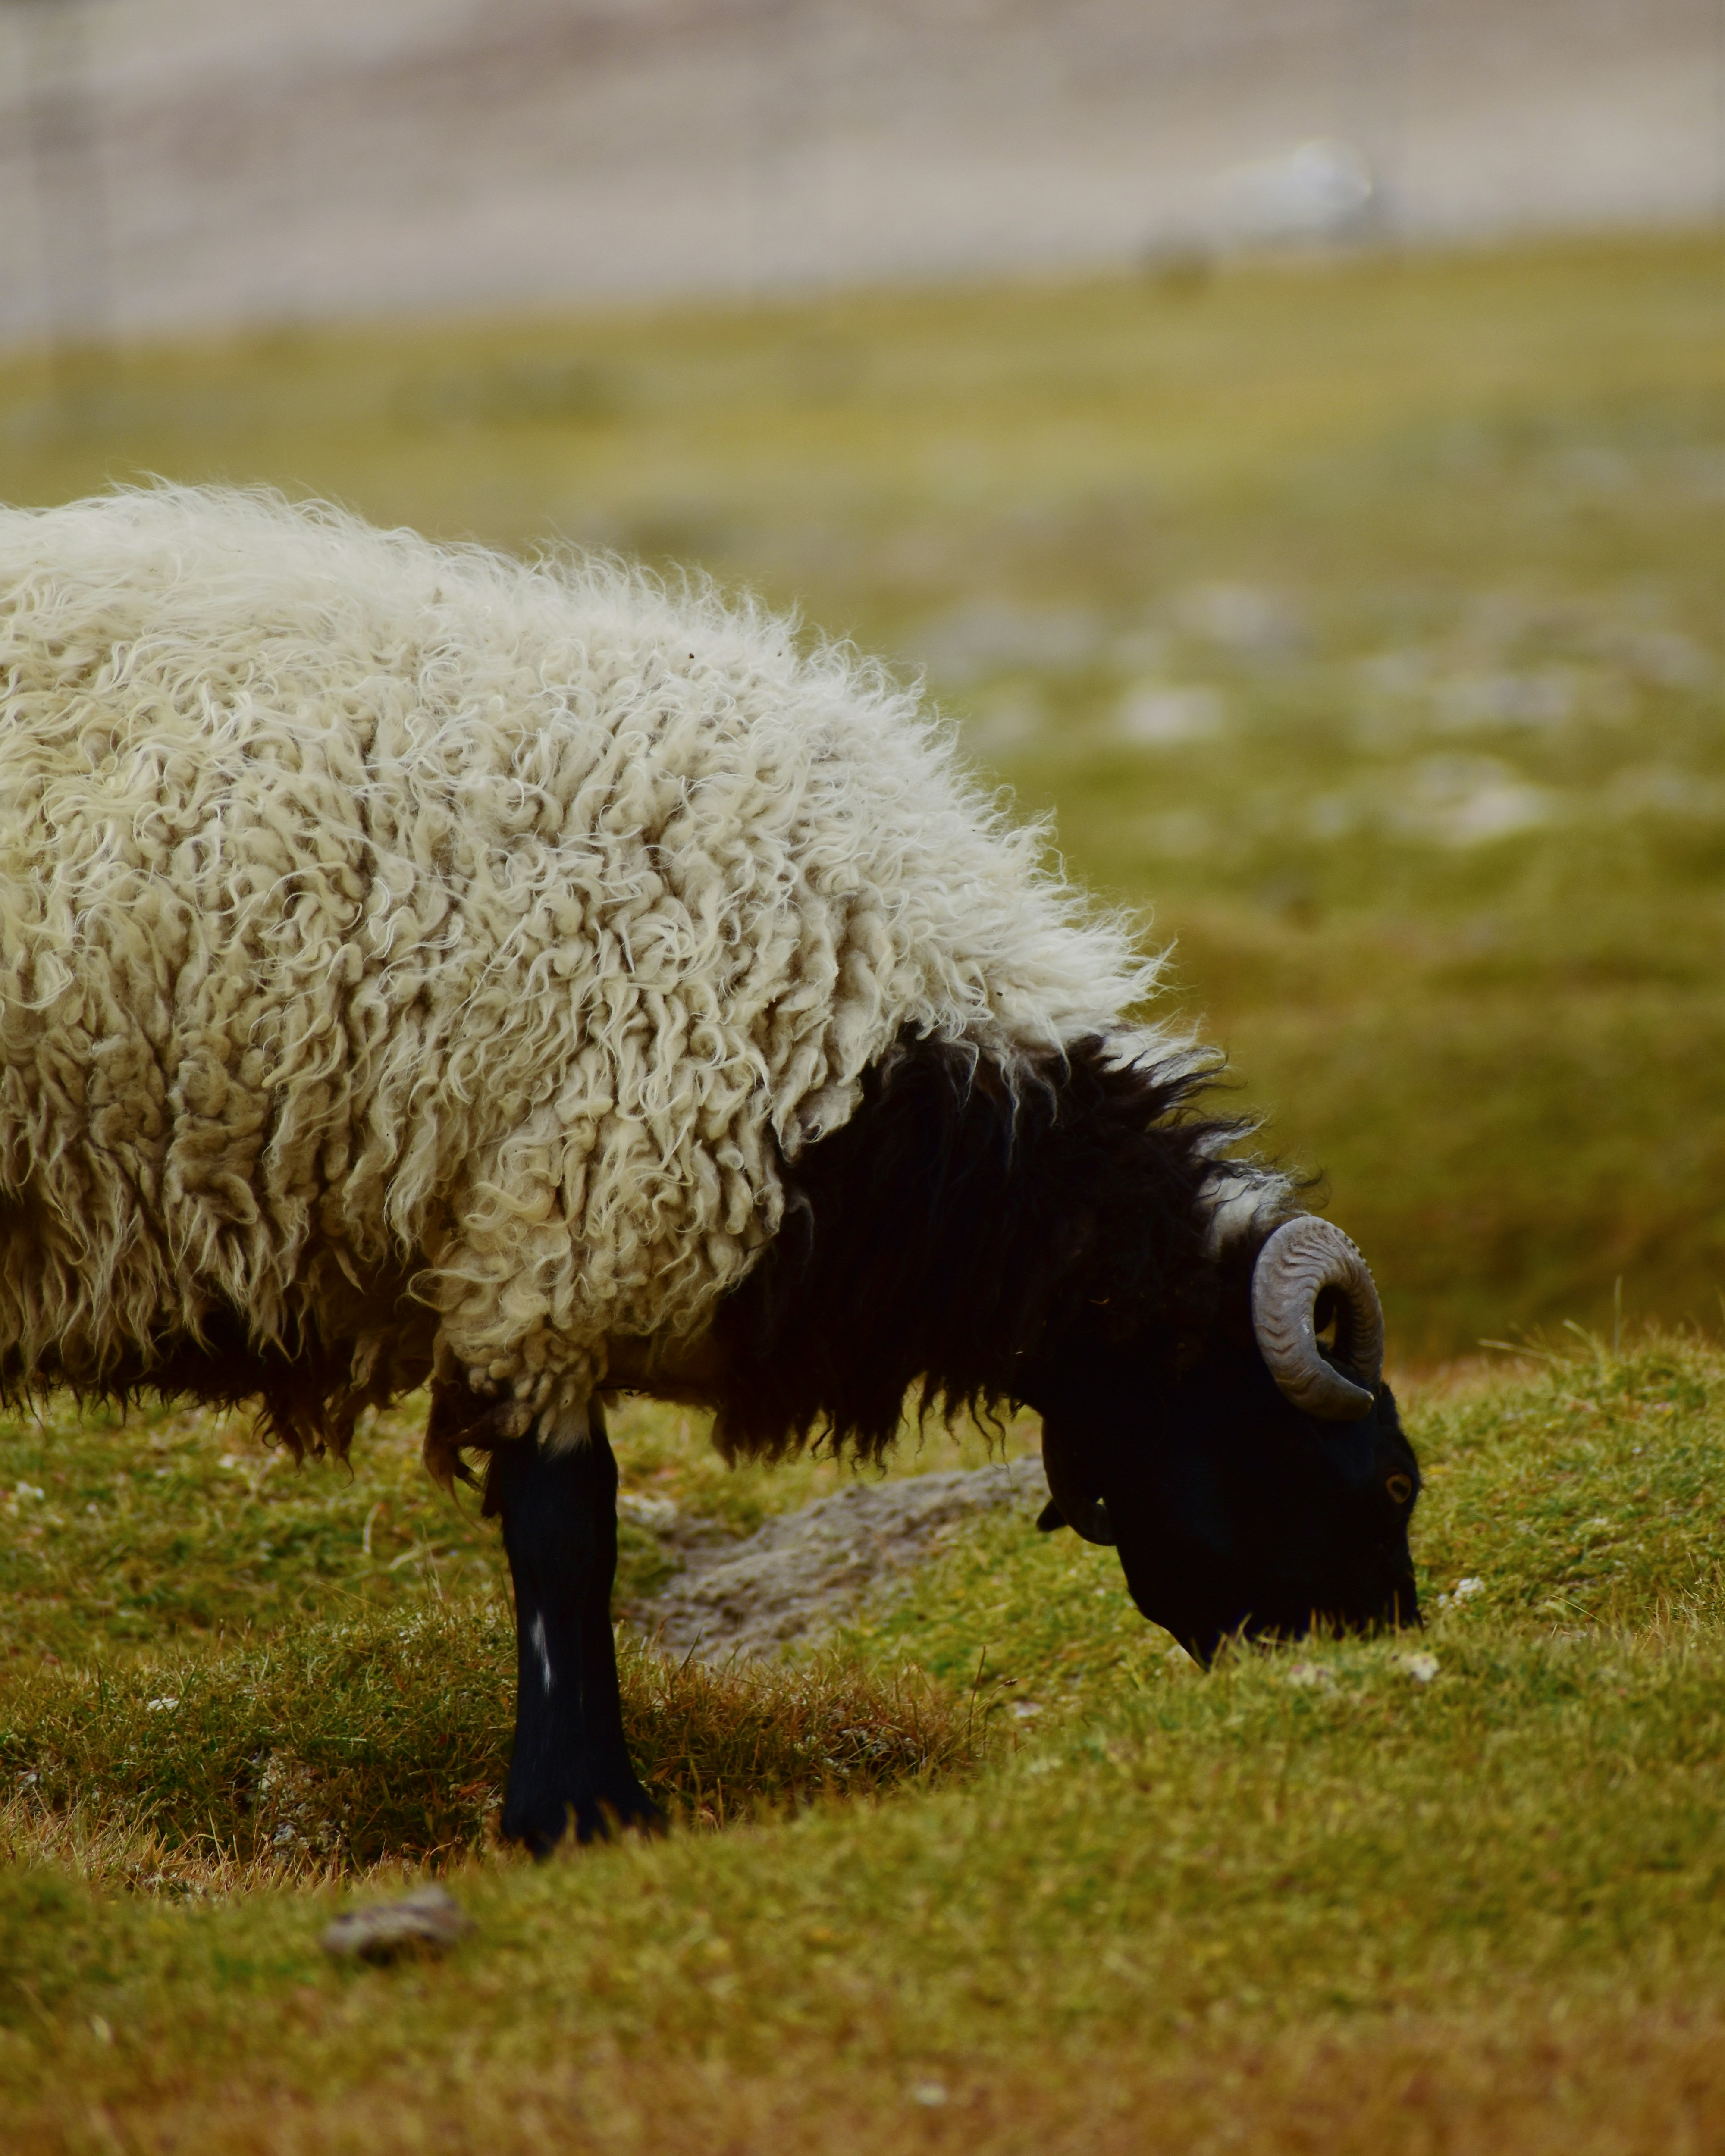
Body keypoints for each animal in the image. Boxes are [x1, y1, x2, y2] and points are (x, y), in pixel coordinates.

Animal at [0, 486, 1420, 1850]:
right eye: (1394, 1477)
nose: (1389, 1672)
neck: (882, 1066)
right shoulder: (556, 1245)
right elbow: (567, 1537)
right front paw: (579, 1811)